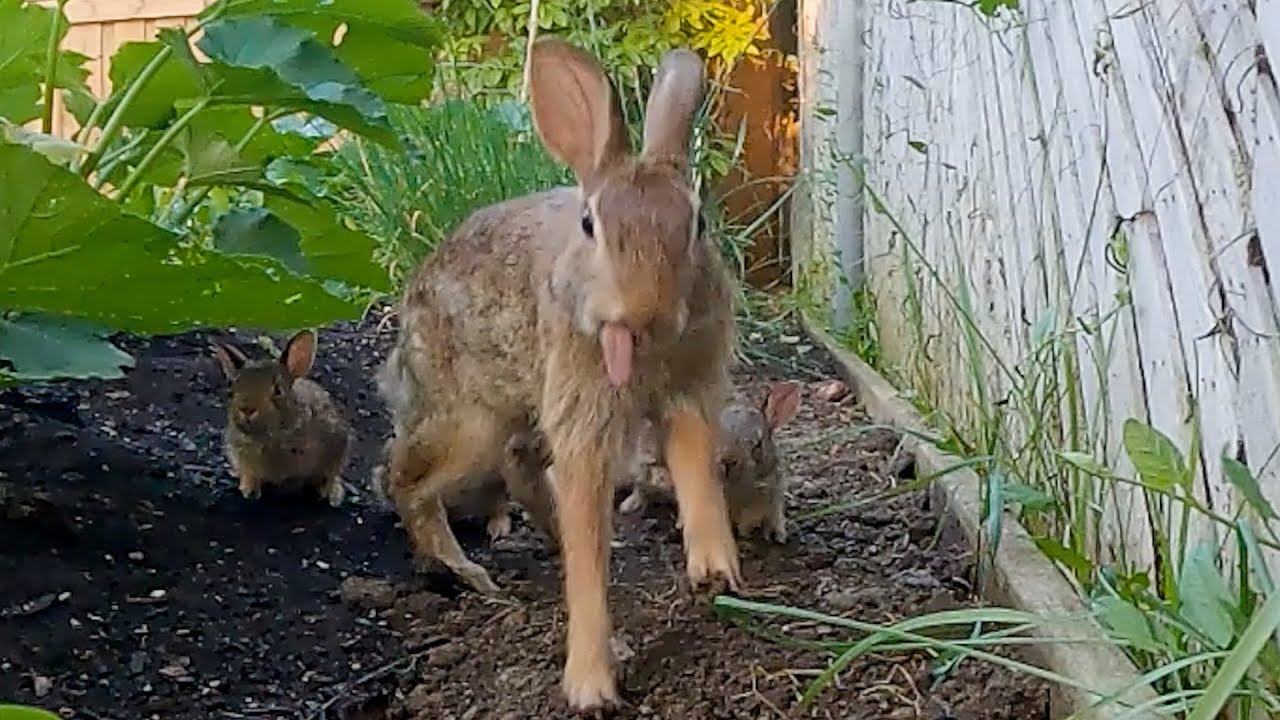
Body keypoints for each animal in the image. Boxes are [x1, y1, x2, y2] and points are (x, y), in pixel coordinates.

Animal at [212, 330, 351, 507]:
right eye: (232, 392)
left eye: (278, 390)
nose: (247, 409)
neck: (273, 436)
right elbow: (249, 473)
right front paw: (249, 490)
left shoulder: (336, 446)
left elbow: (329, 474)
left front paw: (327, 492)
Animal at [376, 37, 740, 710]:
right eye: (591, 224)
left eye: (697, 224)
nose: (644, 309)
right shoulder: (585, 425)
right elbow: (588, 549)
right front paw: (591, 685)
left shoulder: (688, 394)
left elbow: (696, 471)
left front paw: (715, 571)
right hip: (470, 424)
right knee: (403, 479)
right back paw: (467, 572)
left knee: (516, 469)